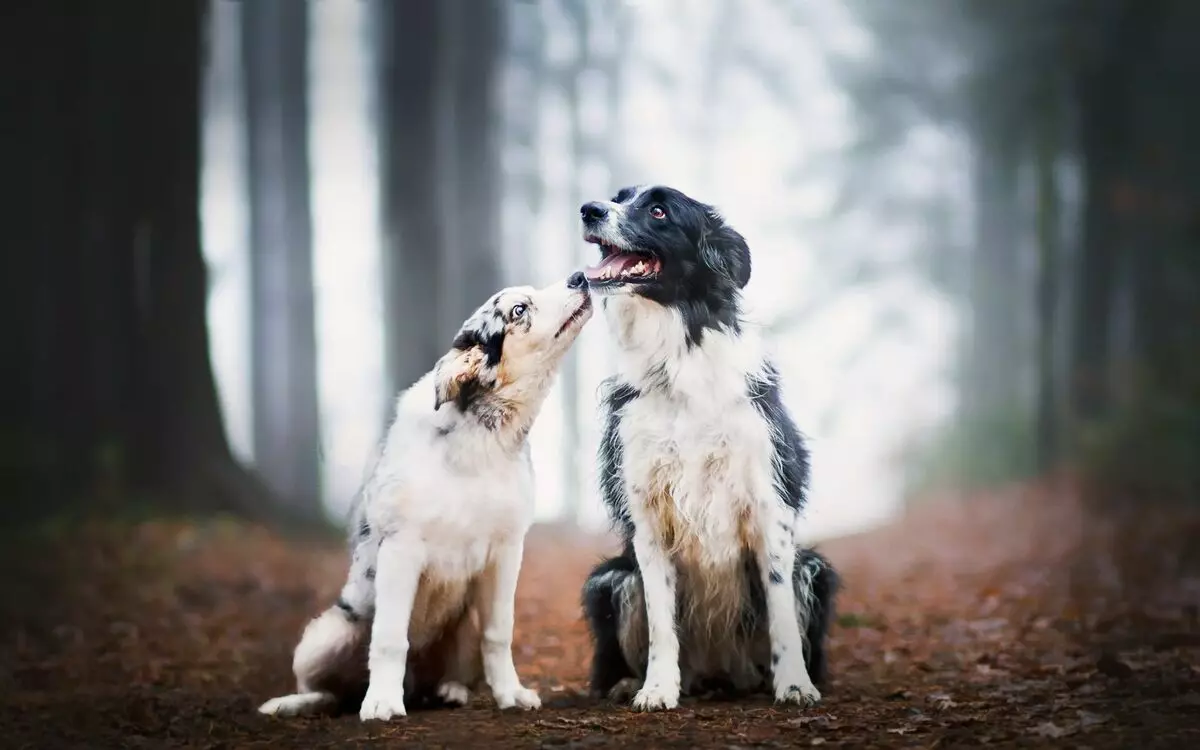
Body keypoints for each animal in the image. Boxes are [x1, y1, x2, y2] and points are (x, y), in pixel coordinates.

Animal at [576, 186, 840, 705]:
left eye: (659, 210)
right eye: (618, 197)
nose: (589, 210)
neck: (677, 360)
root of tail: (722, 671)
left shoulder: (769, 502)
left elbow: (781, 611)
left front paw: (795, 685)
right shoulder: (647, 514)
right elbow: (661, 621)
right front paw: (657, 689)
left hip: (815, 569)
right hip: (609, 579)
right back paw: (628, 683)